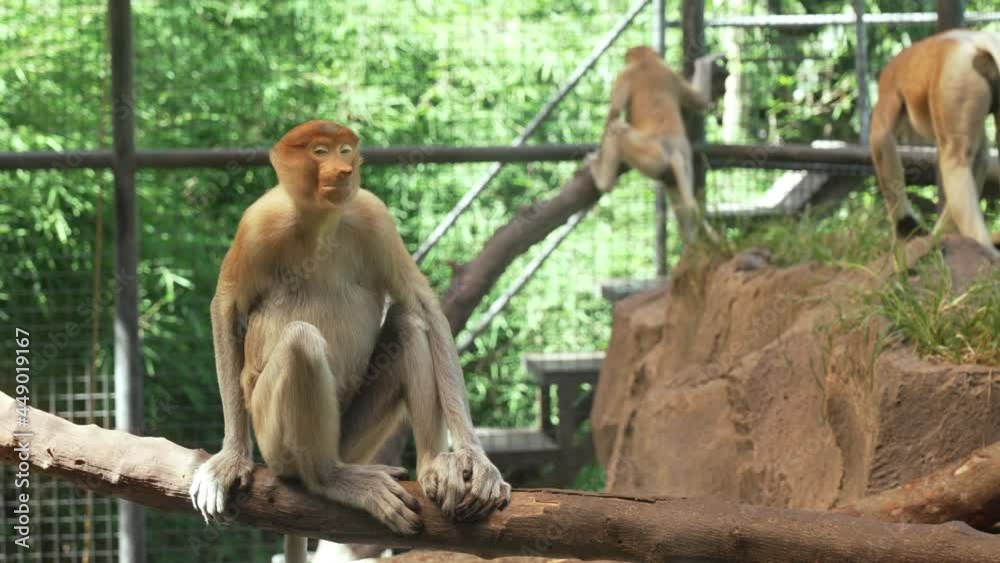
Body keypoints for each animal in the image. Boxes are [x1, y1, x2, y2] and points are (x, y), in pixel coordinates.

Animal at [188, 120, 511, 563]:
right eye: (319, 151)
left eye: (345, 149)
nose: (342, 171)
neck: (320, 222)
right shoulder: (257, 223)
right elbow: (225, 308)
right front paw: (231, 461)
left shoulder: (374, 217)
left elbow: (425, 308)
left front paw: (478, 464)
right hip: (273, 437)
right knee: (301, 342)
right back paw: (329, 479)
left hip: (353, 436)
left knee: (408, 323)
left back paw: (433, 467)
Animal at [588, 45, 725, 245]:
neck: (647, 61)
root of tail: (671, 150)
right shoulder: (670, 72)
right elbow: (699, 100)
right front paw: (707, 59)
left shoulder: (625, 75)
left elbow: (613, 114)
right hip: (684, 162)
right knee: (682, 204)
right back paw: (691, 241)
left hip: (649, 155)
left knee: (617, 130)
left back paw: (602, 180)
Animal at [870, 29, 1000, 259]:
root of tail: (978, 45)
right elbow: (981, 157)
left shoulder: (889, 85)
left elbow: (880, 137)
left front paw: (908, 229)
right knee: (974, 158)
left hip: (957, 82)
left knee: (955, 160)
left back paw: (985, 249)